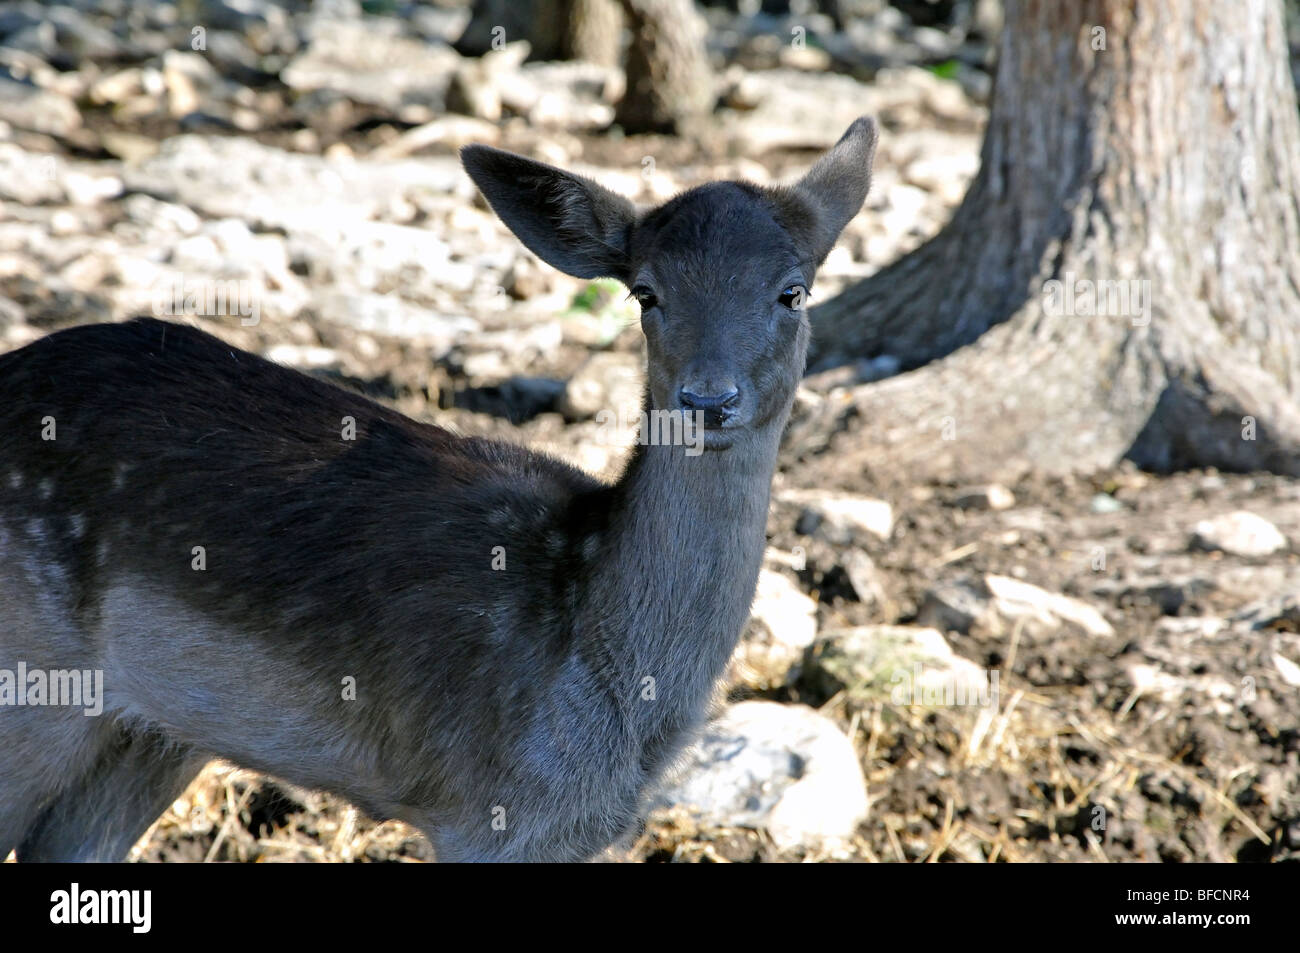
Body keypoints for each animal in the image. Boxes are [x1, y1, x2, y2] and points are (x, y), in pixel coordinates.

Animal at [0, 117, 876, 862]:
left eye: (793, 290)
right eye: (646, 291)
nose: (707, 399)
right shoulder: (483, 809)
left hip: (156, 732)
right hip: (32, 679)